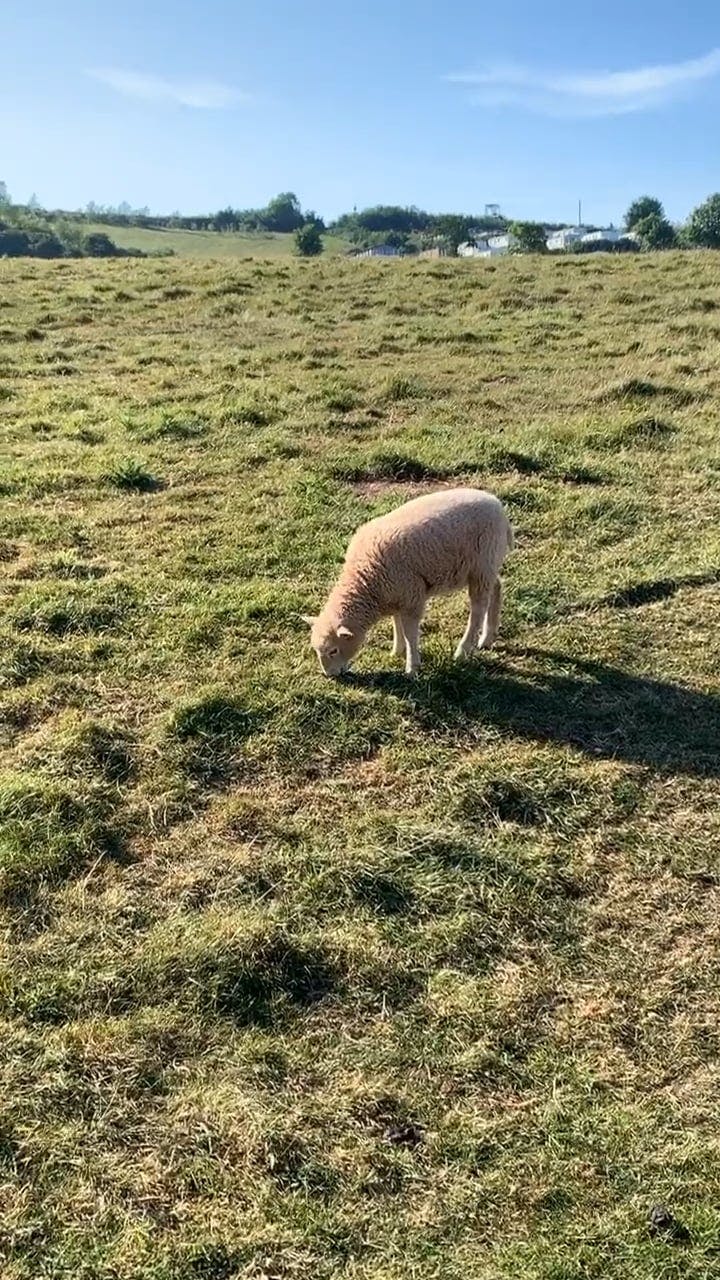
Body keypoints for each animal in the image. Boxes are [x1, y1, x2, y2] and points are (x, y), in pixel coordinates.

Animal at [303, 487, 514, 677]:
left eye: (333, 650)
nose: (329, 675)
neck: (365, 581)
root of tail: (498, 506)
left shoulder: (411, 596)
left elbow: (410, 633)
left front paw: (412, 667)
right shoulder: (397, 593)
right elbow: (397, 623)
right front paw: (397, 650)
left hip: (482, 563)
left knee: (478, 608)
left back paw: (463, 650)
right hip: (486, 565)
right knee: (496, 587)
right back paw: (487, 637)